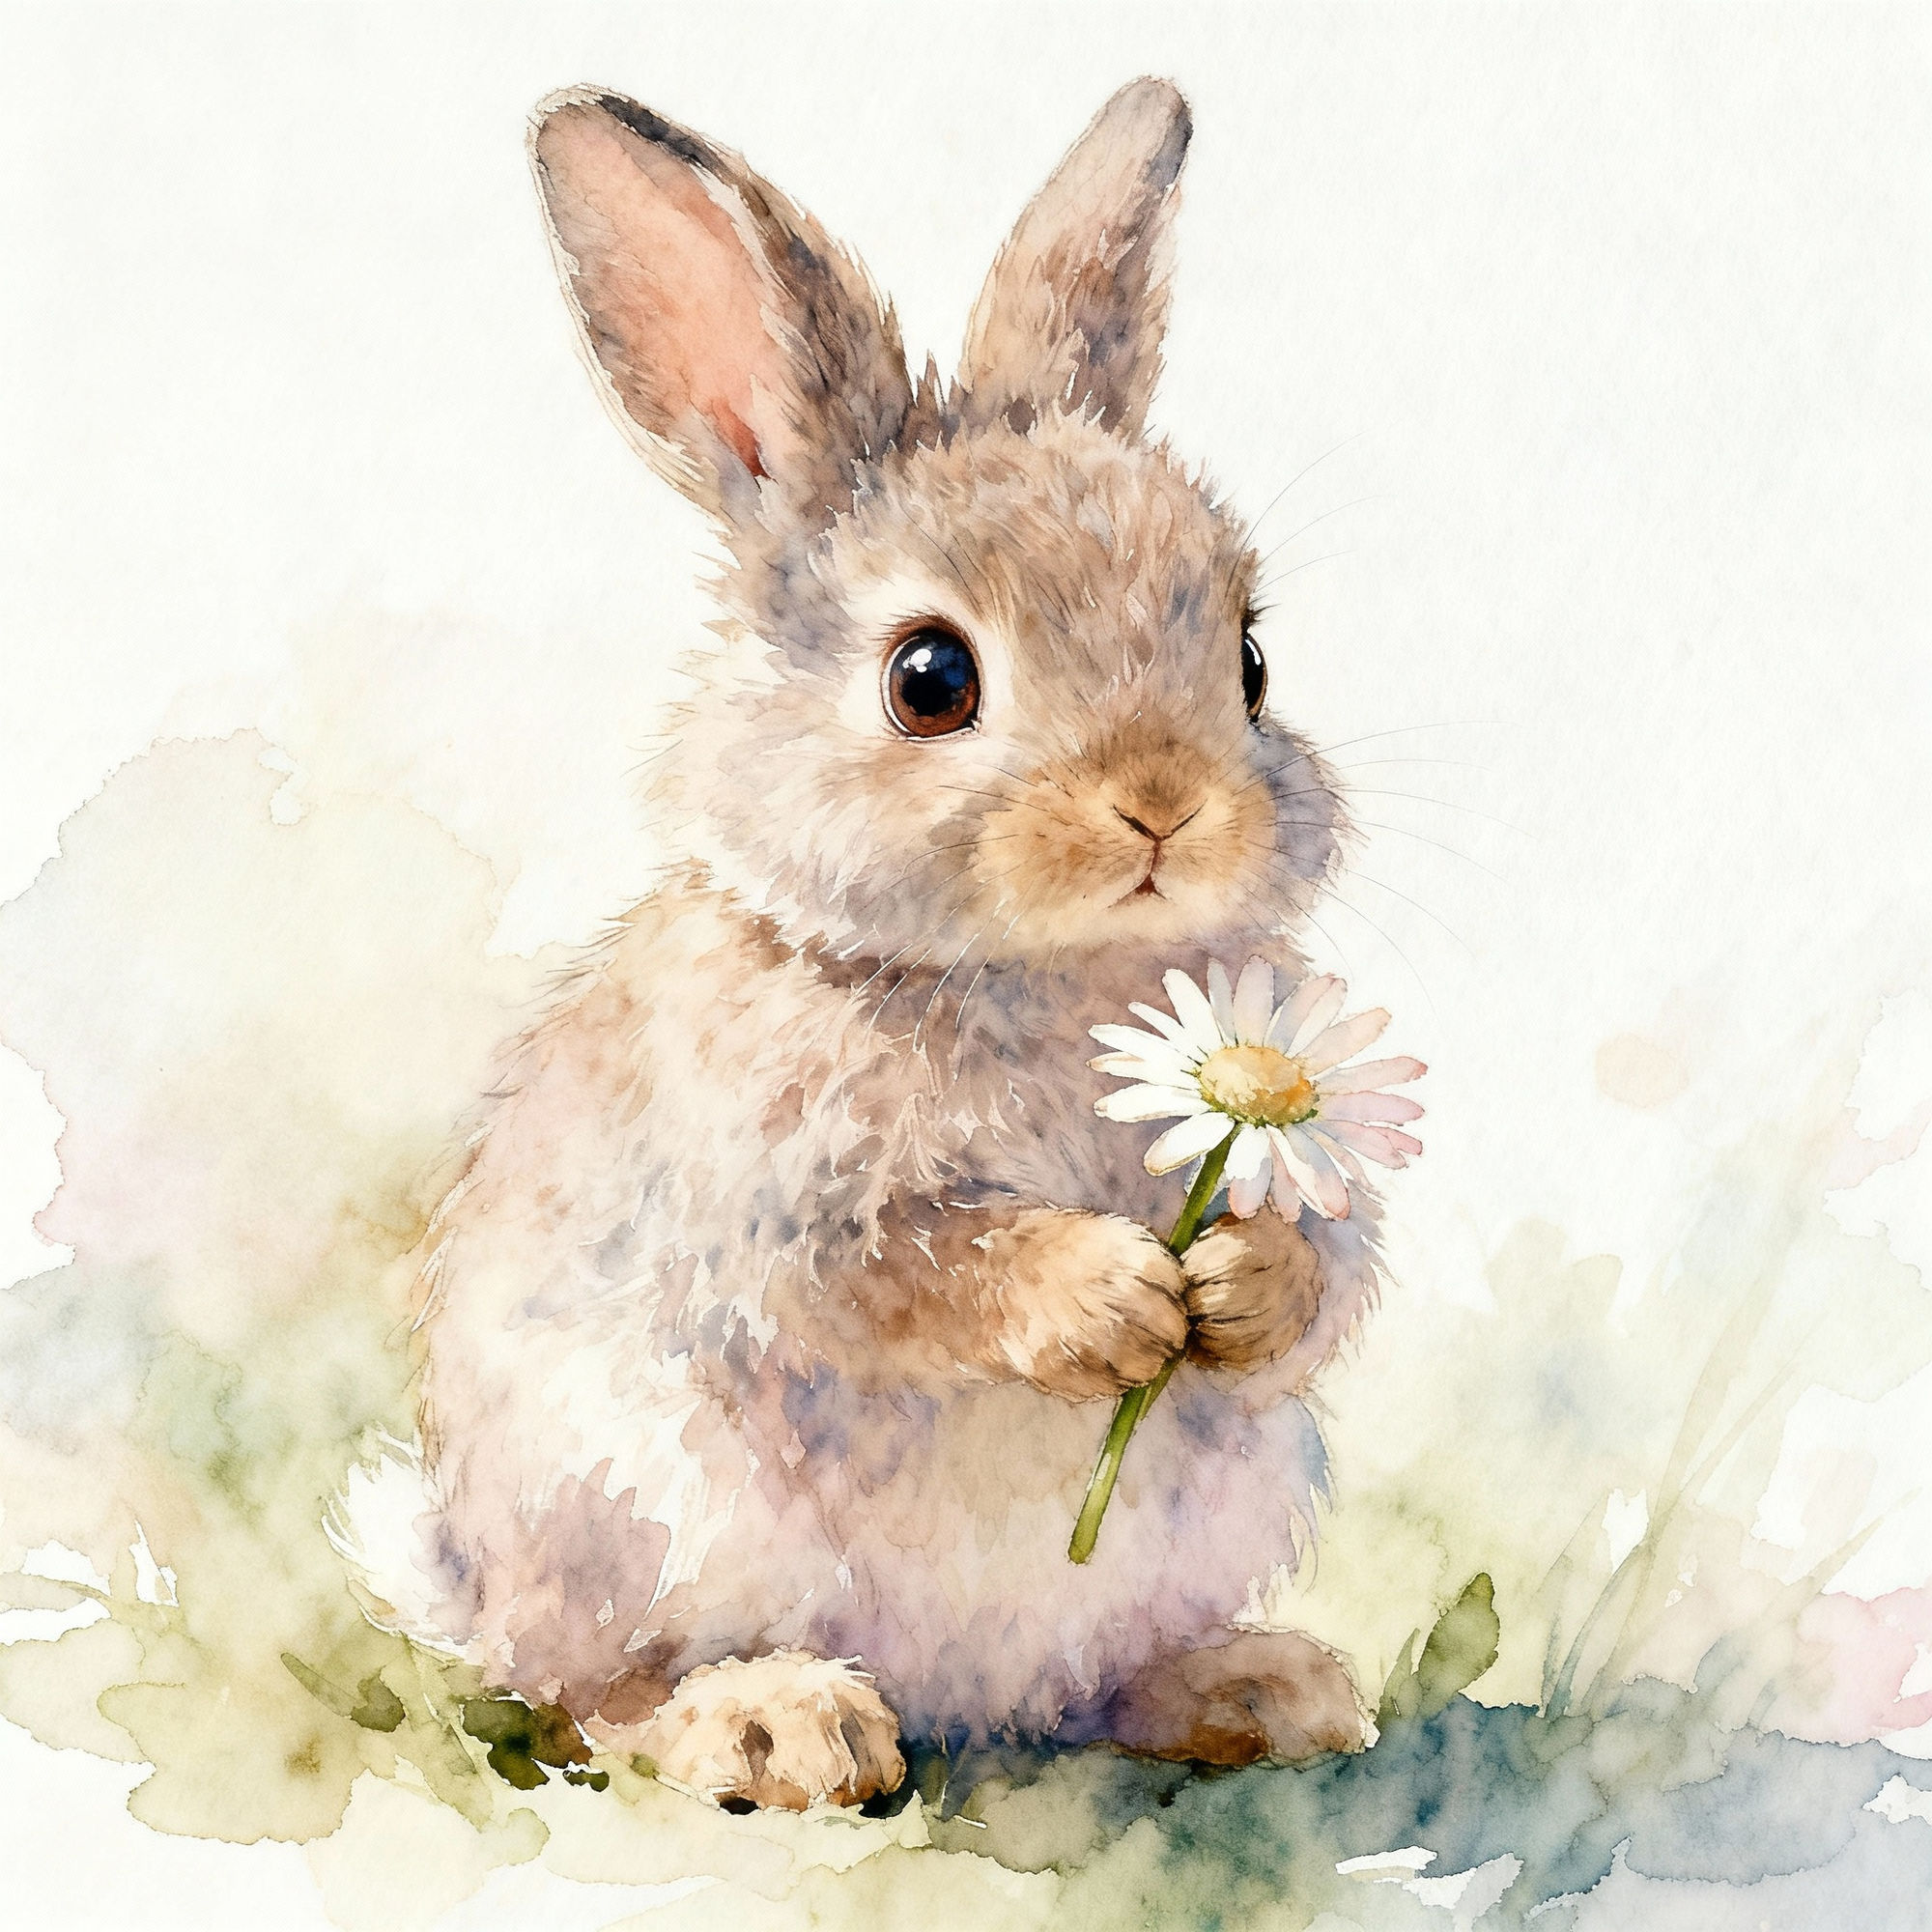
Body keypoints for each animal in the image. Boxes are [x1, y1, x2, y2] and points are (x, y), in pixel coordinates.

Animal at [335, 76, 1388, 1811]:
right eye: (929, 680)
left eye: (1246, 657)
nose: (1167, 810)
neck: (1039, 980)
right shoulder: (776, 1204)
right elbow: (909, 1271)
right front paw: (1108, 1299)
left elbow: (1329, 1267)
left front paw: (1234, 1290)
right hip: (637, 1505)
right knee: (591, 1701)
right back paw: (776, 1724)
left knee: (1092, 1689)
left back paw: (1258, 1687)